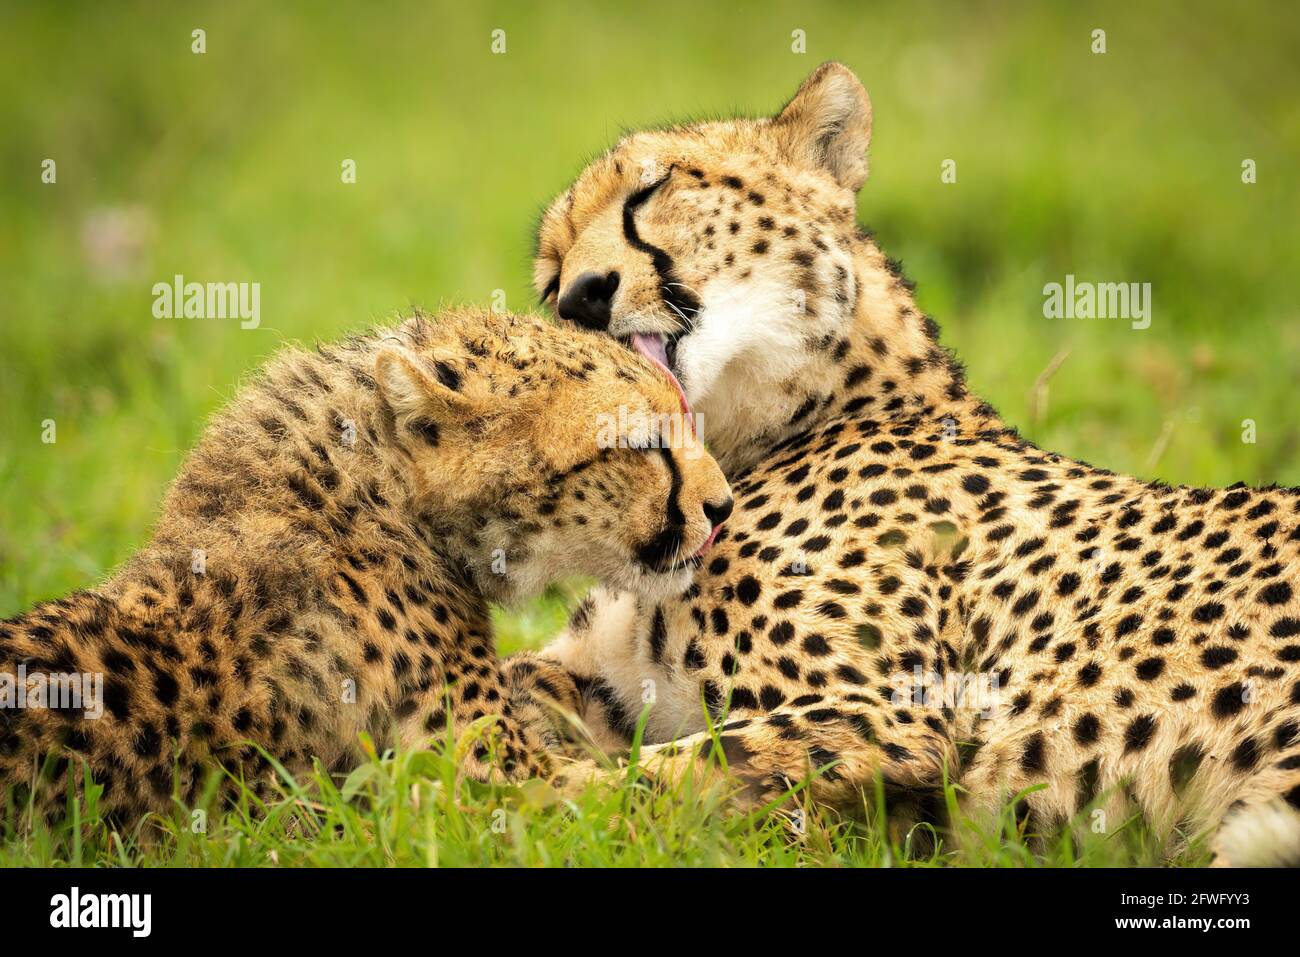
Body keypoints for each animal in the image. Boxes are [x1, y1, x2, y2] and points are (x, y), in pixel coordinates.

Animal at [521, 62, 1300, 866]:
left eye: (650, 192)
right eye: (549, 280)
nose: (581, 297)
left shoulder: (894, 716)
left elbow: (617, 781)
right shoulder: (607, 679)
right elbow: (517, 694)